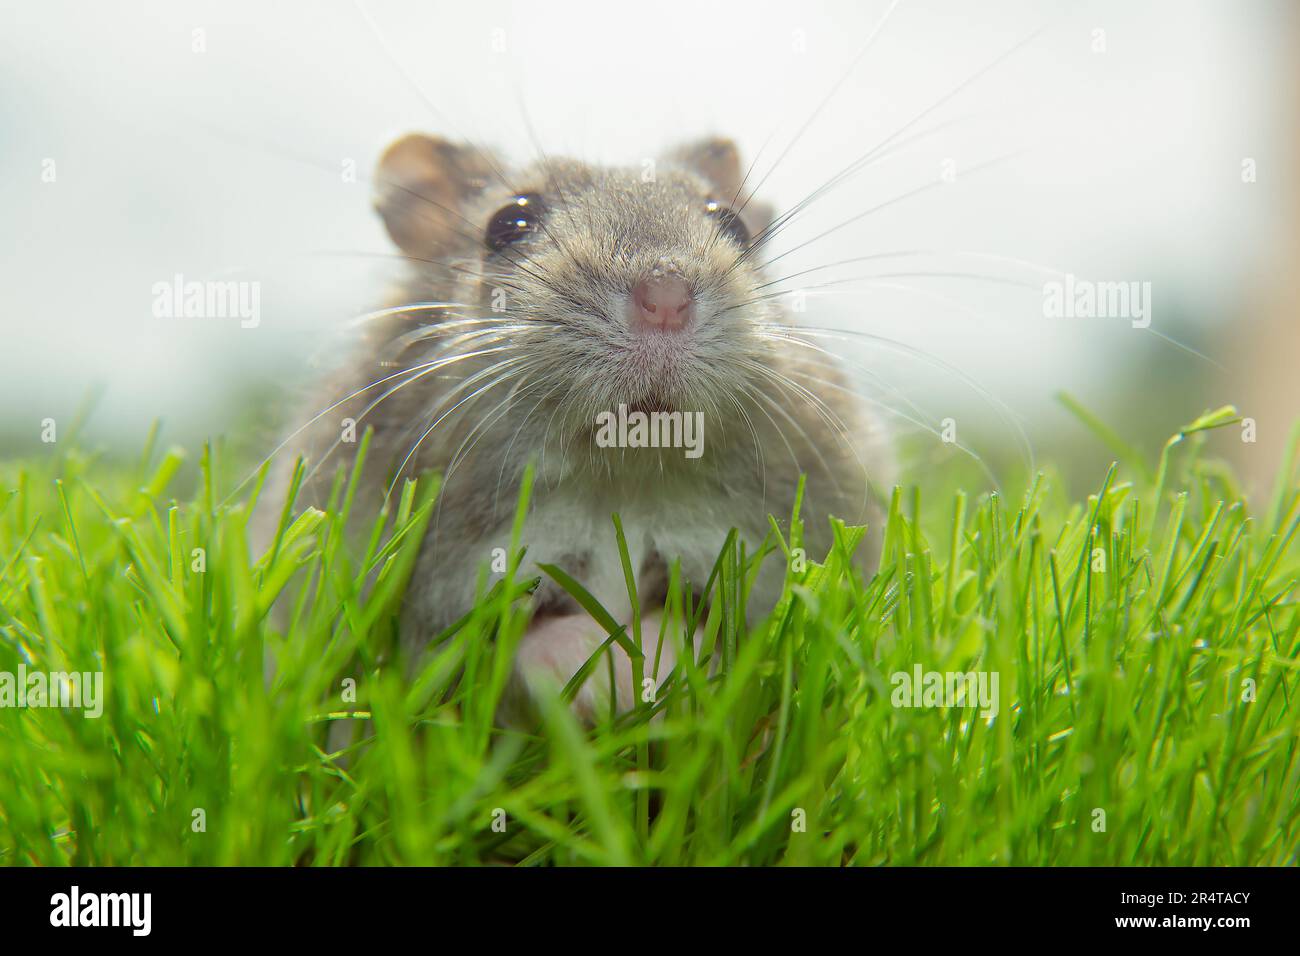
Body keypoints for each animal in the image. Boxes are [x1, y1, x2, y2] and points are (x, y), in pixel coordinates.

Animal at [269, 133, 890, 722]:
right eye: (508, 223)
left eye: (733, 225)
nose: (665, 297)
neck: (622, 475)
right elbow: (520, 653)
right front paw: (608, 679)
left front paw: (648, 675)